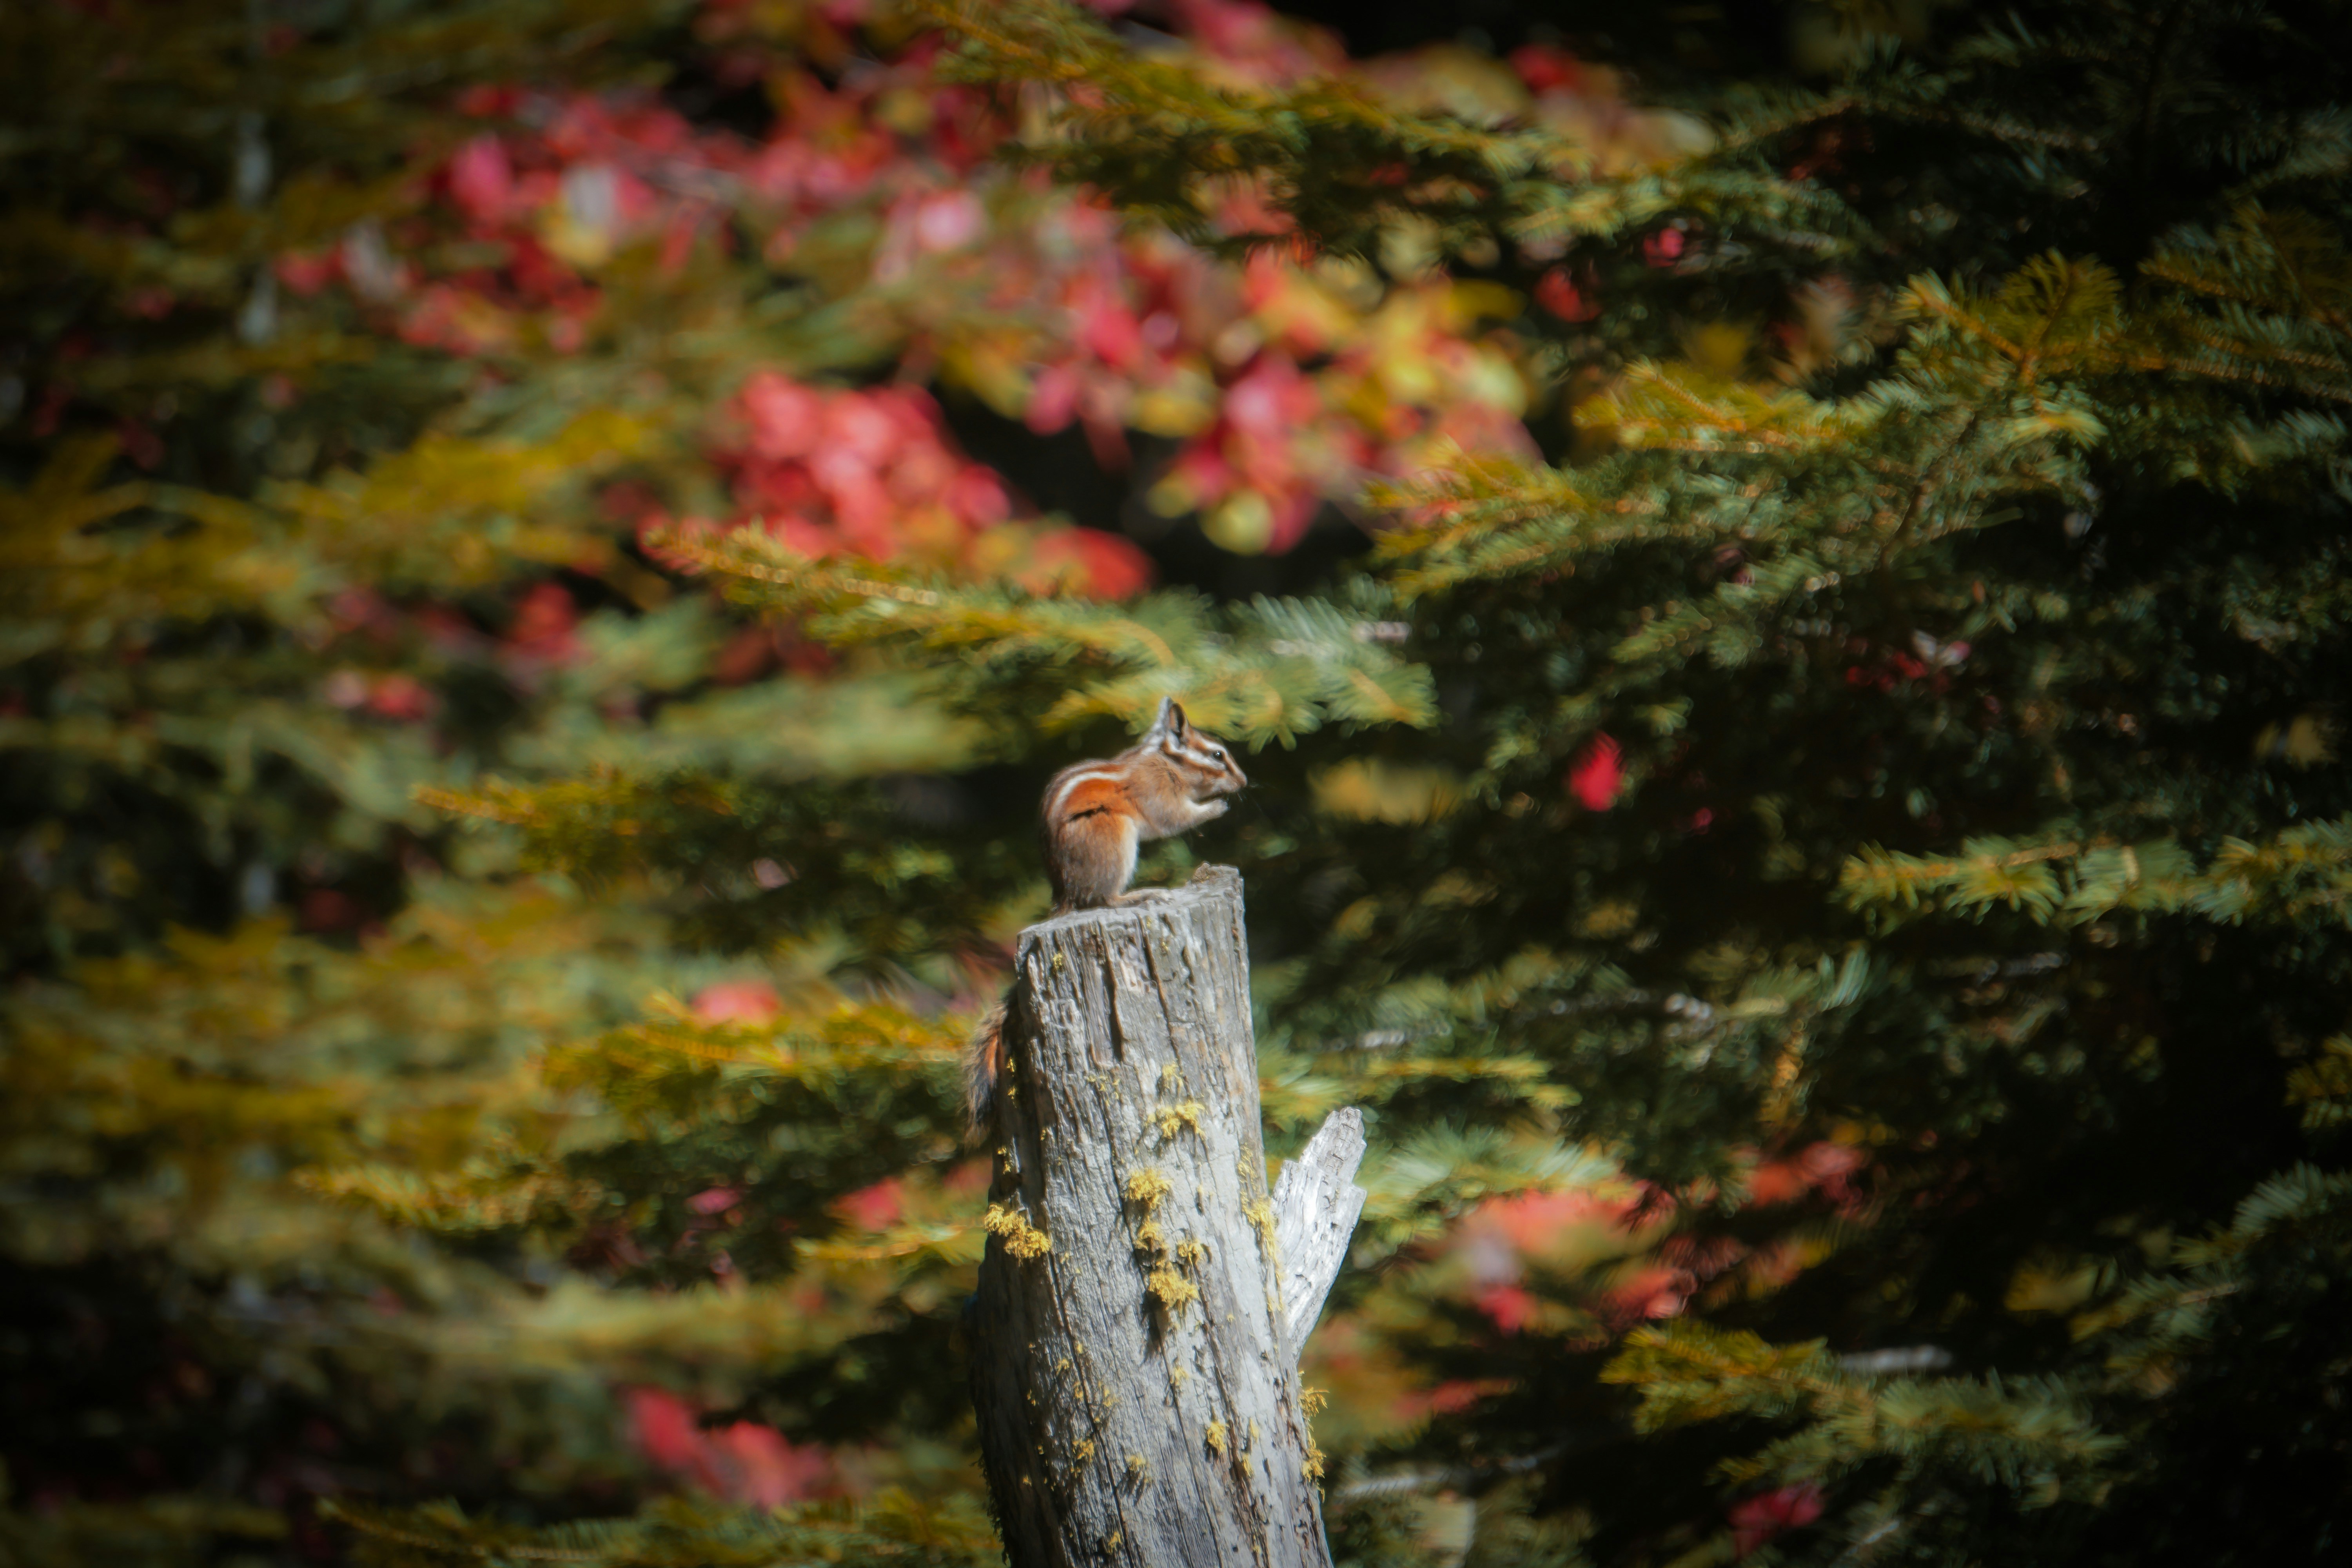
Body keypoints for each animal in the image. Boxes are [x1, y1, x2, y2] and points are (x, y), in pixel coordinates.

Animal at [962, 696, 1247, 1142]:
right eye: (1218, 755)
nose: (1245, 782)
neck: (1165, 763)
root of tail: (1064, 896)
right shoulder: (1158, 795)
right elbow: (1175, 819)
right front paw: (1215, 808)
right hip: (1114, 832)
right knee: (1104, 899)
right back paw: (1141, 894)